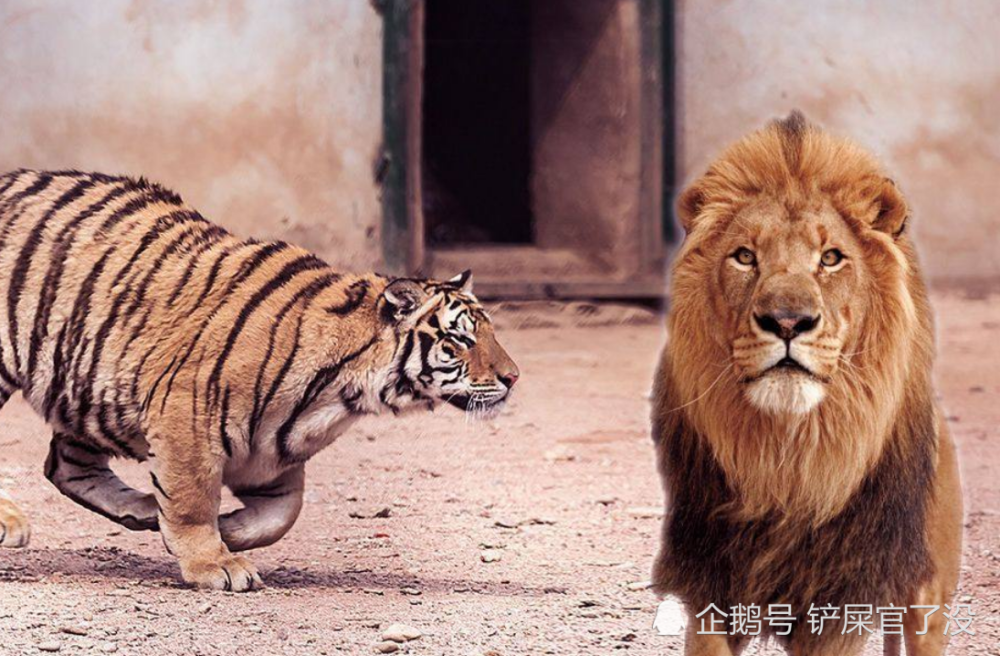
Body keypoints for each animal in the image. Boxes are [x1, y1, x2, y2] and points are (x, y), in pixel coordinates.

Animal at [0, 169, 519, 591]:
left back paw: (143, 508)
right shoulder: (185, 415)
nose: (514, 377)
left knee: (65, 464)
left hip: (85, 388)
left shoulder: (273, 454)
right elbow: (191, 499)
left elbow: (281, 516)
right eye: (461, 339)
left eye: (489, 332)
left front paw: (227, 530)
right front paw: (214, 563)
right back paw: (13, 523)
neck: (344, 395)